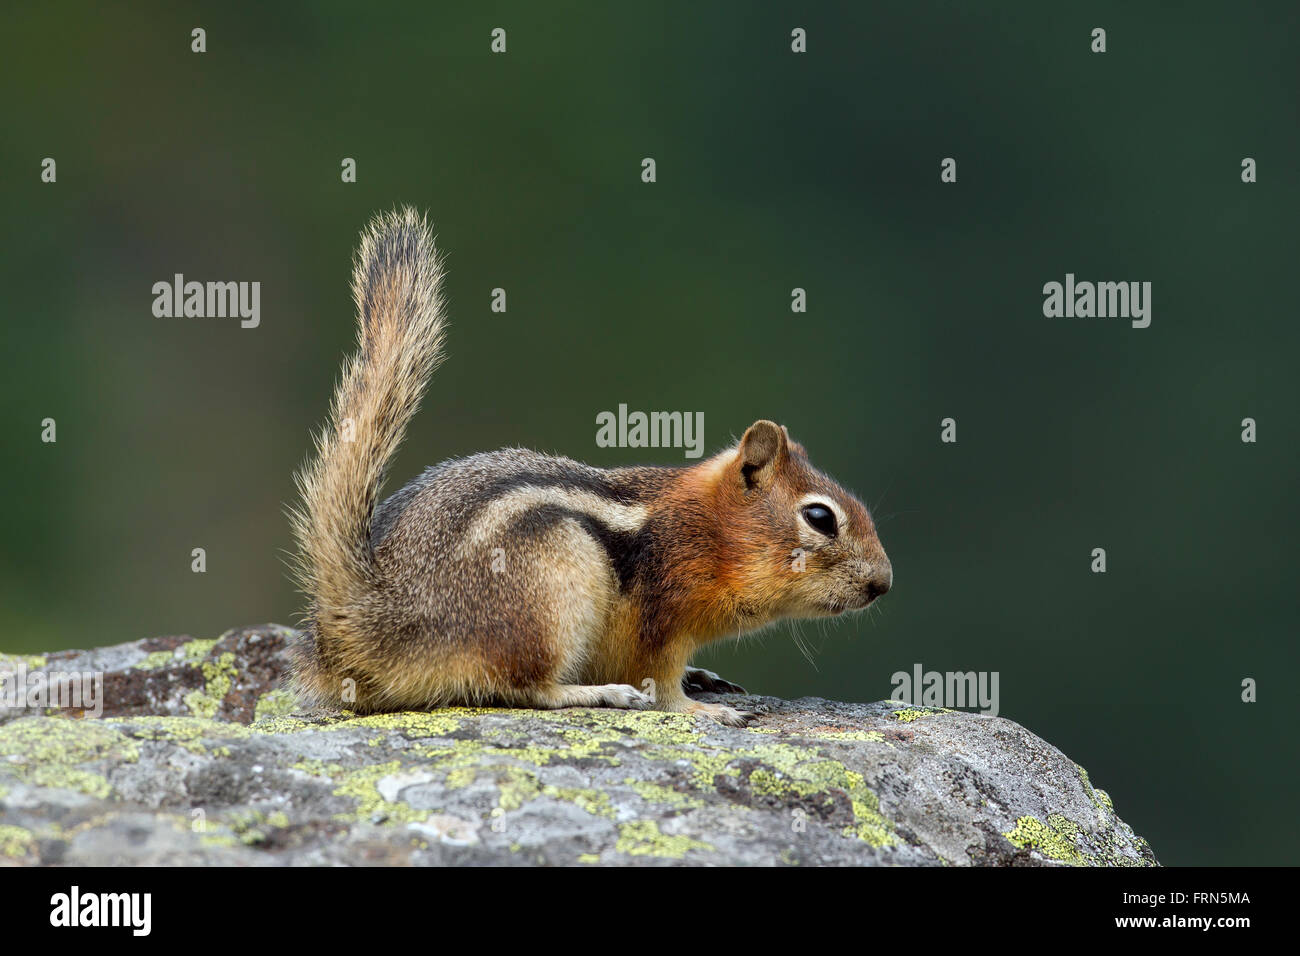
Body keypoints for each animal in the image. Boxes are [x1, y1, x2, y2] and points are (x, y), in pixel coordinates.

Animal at [289, 207, 892, 726]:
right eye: (820, 518)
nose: (884, 583)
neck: (710, 530)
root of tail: (371, 617)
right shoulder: (661, 617)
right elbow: (659, 683)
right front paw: (700, 709)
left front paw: (705, 679)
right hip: (550, 594)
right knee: (522, 687)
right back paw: (597, 693)